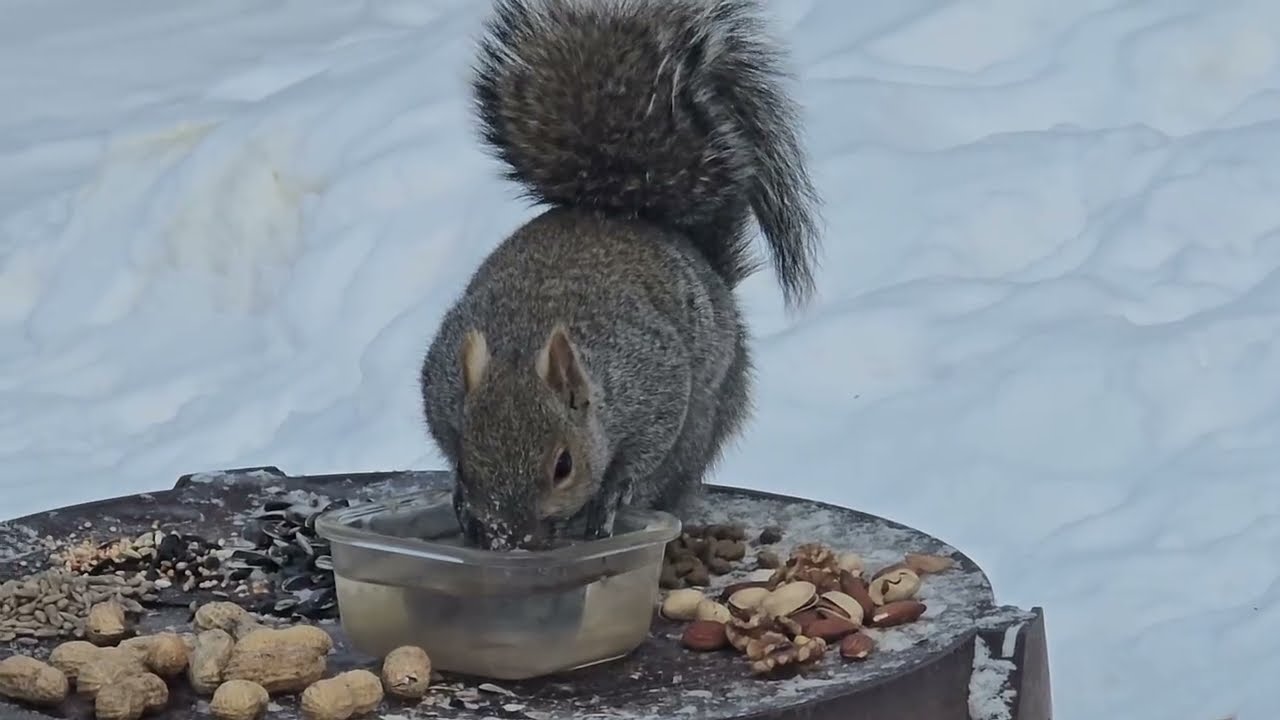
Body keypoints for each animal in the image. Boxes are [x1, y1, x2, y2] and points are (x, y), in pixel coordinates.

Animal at [419, 0, 822, 551]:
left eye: (563, 465)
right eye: (466, 463)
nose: (511, 539)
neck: (526, 340)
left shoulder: (654, 384)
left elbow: (641, 453)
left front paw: (610, 495)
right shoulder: (440, 388)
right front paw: (462, 504)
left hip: (702, 423)